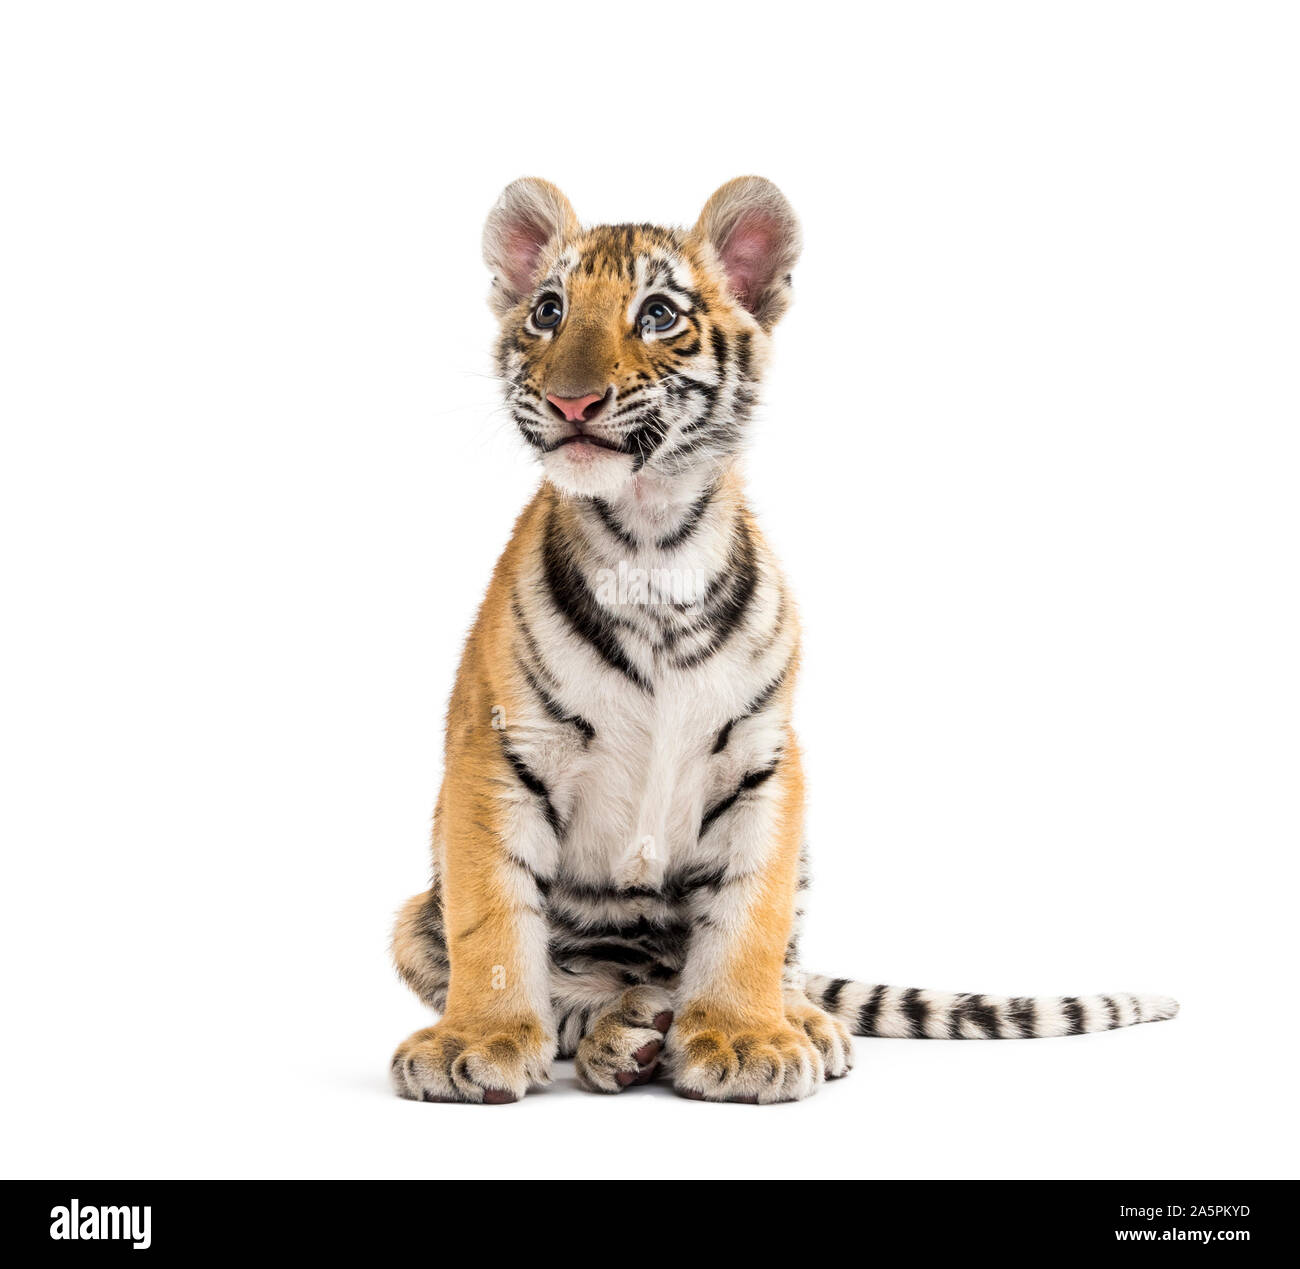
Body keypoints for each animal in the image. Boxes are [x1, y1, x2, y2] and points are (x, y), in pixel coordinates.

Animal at [389, 176, 1178, 1105]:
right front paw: (474, 1041)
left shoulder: (763, 760)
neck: (651, 544)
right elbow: (494, 921)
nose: (570, 401)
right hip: (412, 919)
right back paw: (622, 1032)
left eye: (658, 314)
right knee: (577, 988)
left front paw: (742, 1037)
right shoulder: (499, 753)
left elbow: (749, 917)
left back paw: (785, 1021)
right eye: (548, 311)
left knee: (774, 963)